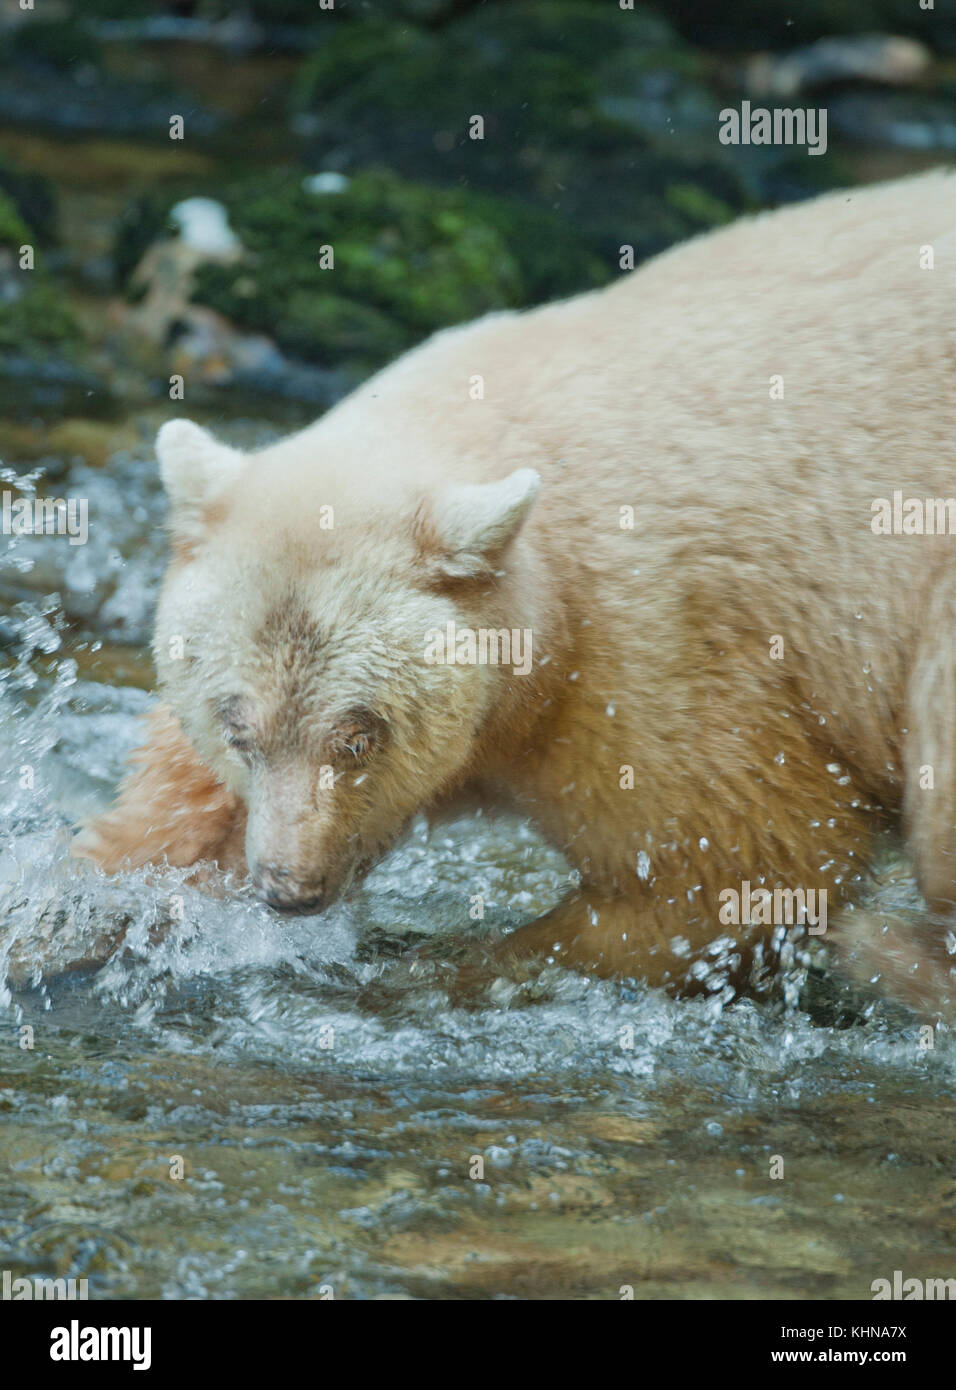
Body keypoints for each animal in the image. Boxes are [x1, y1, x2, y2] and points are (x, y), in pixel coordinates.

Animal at [75, 170, 956, 1012]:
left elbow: (739, 862)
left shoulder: (655, 645)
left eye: (359, 737)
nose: (289, 890)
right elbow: (173, 817)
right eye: (238, 729)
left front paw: (432, 973)